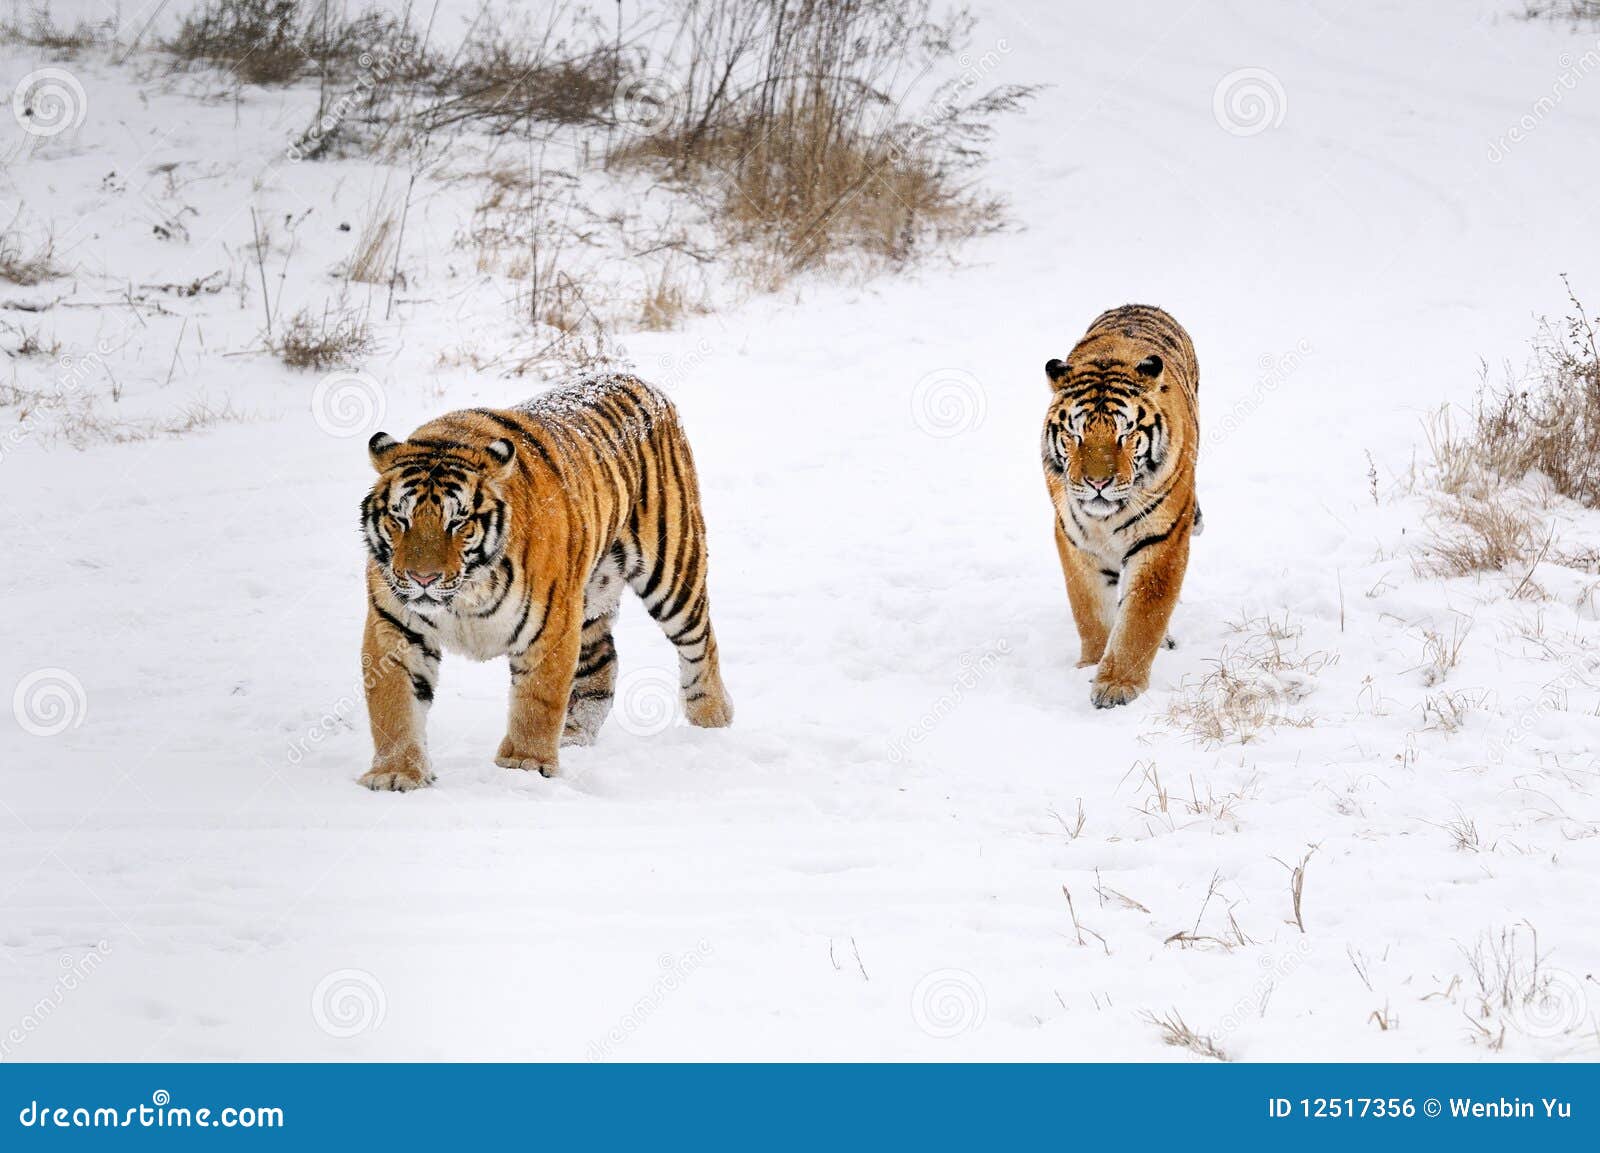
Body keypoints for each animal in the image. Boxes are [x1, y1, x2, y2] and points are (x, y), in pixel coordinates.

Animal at [358, 372, 733, 791]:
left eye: (458, 522)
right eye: (400, 519)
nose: (422, 577)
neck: (466, 593)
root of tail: (637, 379)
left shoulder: (549, 627)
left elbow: (538, 702)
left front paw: (524, 765)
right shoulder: (395, 628)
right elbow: (394, 705)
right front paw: (395, 772)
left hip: (672, 573)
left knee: (701, 642)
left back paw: (712, 720)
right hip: (591, 595)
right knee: (603, 660)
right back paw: (574, 736)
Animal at [1041, 304, 1201, 709]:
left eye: (1124, 433)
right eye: (1075, 434)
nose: (1098, 483)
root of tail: (1137, 304)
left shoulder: (1163, 541)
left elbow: (1141, 620)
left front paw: (1117, 686)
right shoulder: (1075, 540)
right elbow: (1091, 612)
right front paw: (1090, 665)